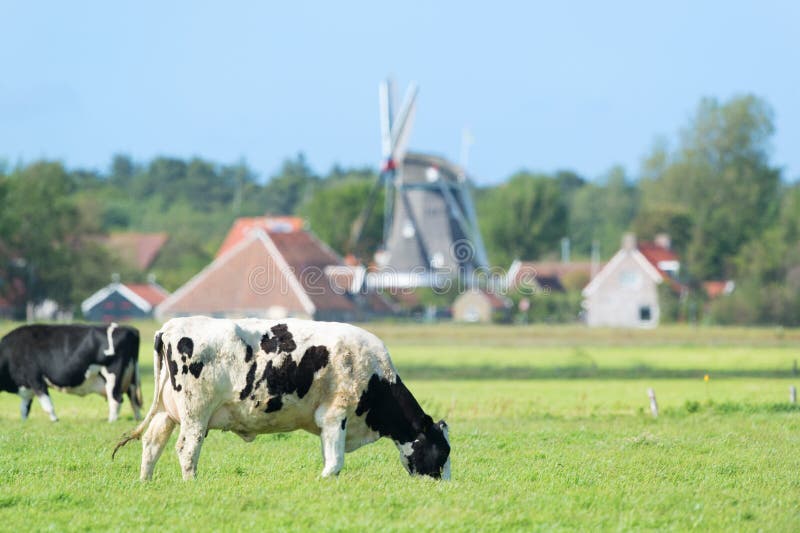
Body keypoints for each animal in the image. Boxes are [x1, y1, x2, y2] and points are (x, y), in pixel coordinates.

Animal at [0, 323, 143, 422]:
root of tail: (130, 329)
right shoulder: (26, 387)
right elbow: (24, 409)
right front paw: (24, 422)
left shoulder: (35, 379)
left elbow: (47, 405)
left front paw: (55, 420)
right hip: (130, 378)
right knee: (134, 400)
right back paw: (138, 420)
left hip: (113, 376)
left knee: (116, 399)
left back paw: (111, 421)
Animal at [113, 316, 450, 481]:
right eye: (443, 452)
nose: (443, 486)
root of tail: (171, 327)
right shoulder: (335, 415)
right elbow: (335, 463)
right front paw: (323, 482)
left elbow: (330, 458)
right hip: (195, 413)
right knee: (186, 449)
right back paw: (191, 484)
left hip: (166, 412)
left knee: (152, 444)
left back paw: (145, 482)